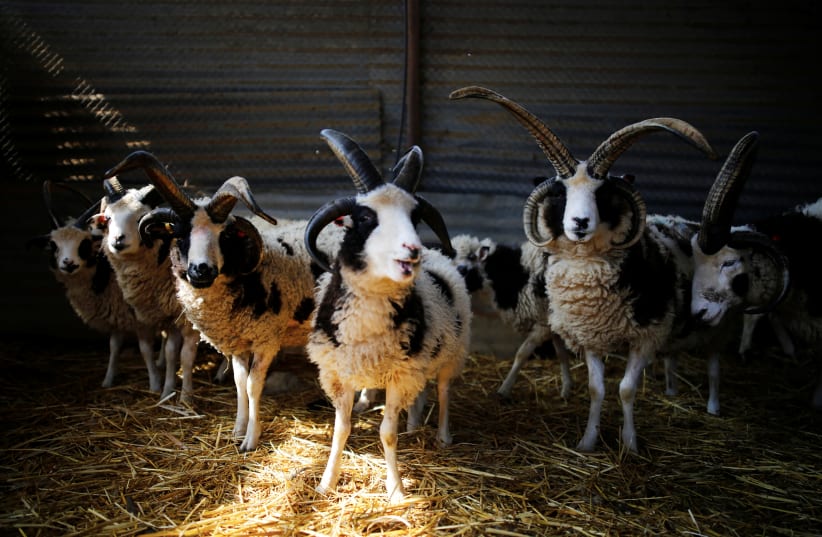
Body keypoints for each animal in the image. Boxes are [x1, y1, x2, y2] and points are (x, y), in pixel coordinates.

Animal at [27, 181, 163, 391]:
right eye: (53, 245)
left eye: (84, 243)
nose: (68, 263)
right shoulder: (116, 313)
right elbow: (114, 346)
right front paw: (108, 380)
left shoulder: (141, 318)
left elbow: (145, 350)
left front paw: (155, 384)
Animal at [93, 173, 200, 404]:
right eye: (108, 218)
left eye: (140, 218)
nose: (118, 240)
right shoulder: (158, 315)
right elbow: (158, 352)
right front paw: (162, 388)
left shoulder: (186, 318)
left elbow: (185, 356)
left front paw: (184, 398)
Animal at [107, 150, 345, 452]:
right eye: (180, 235)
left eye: (224, 236)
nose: (201, 270)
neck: (252, 273)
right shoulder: (238, 341)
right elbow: (239, 383)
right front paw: (237, 431)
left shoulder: (267, 339)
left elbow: (254, 385)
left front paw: (251, 440)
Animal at [304, 128, 471, 503]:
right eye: (366, 218)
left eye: (415, 217)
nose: (413, 250)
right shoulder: (339, 374)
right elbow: (341, 430)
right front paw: (326, 483)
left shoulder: (399, 375)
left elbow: (387, 433)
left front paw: (395, 491)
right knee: (419, 393)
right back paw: (412, 421)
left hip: (451, 354)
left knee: (443, 391)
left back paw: (442, 436)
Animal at [450, 233, 574, 399]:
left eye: (462, 270)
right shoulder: (551, 319)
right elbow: (562, 354)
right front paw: (566, 390)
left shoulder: (543, 323)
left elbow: (522, 353)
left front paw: (504, 390)